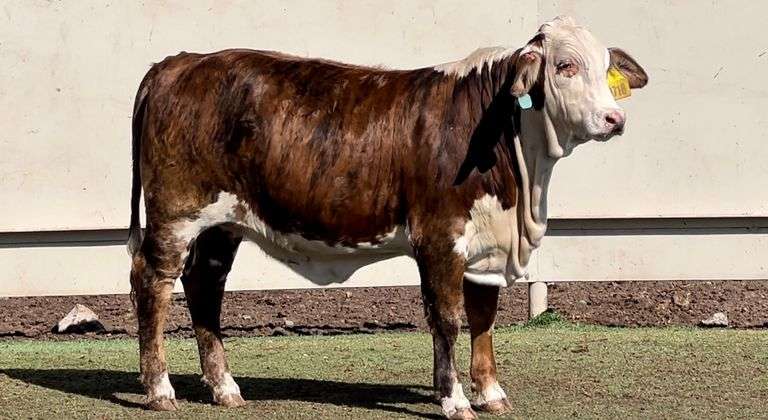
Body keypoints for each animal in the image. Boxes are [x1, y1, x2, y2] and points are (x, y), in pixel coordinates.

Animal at [127, 16, 647, 419]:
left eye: (606, 68)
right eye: (565, 65)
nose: (614, 119)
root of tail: (177, 63)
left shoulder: (485, 245)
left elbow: (484, 318)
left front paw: (490, 392)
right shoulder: (439, 237)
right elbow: (448, 319)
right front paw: (455, 400)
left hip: (222, 225)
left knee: (205, 287)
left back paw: (225, 388)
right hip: (176, 214)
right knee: (153, 284)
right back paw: (160, 390)